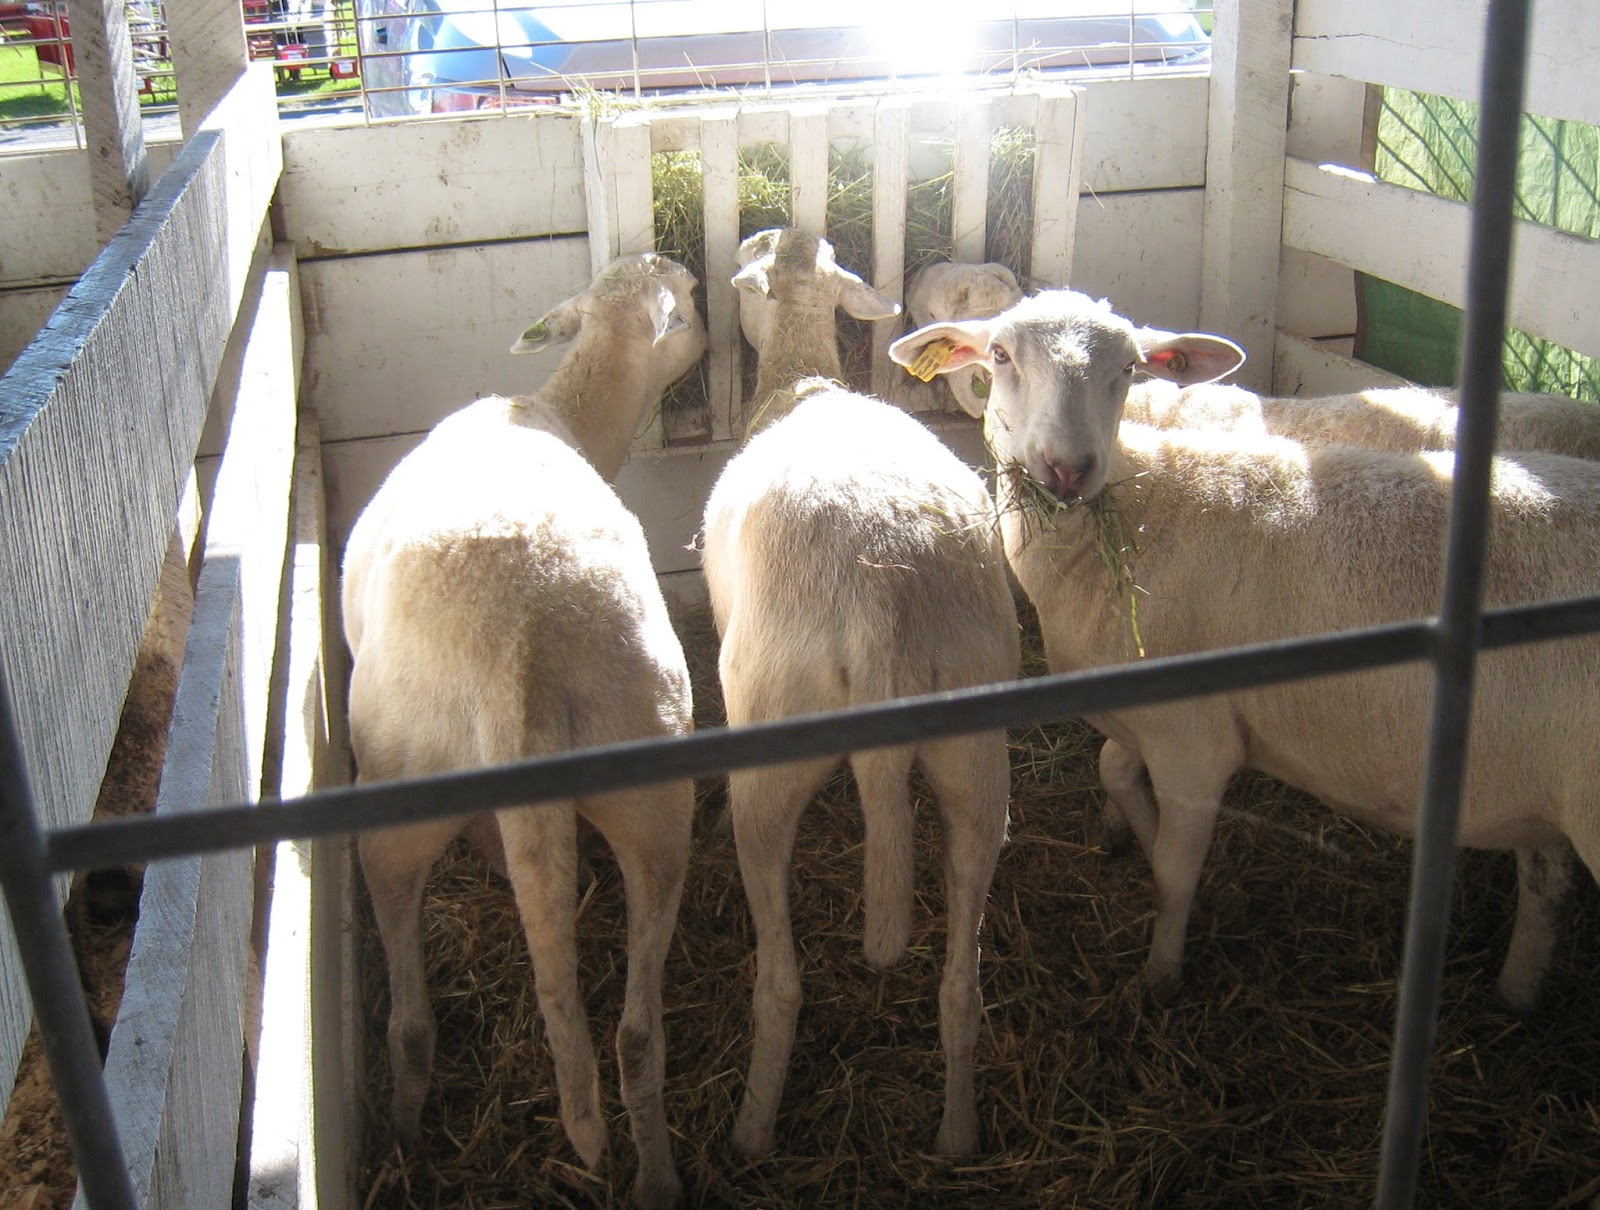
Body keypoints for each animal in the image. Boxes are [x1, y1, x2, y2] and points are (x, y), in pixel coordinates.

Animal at [341, 252, 706, 1210]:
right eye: (691, 302)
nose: (710, 306)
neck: (558, 408)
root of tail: (520, 653)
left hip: (398, 802)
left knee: (413, 1022)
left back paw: (408, 1149)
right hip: (652, 790)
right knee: (633, 1038)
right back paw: (654, 1177)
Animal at [890, 289, 1600, 1011]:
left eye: (1129, 367)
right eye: (1001, 356)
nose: (1067, 469)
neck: (1143, 508)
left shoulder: (1194, 740)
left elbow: (1174, 870)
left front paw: (1162, 973)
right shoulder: (1144, 707)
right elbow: (1113, 768)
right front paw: (1131, 835)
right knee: (1548, 878)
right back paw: (1517, 990)